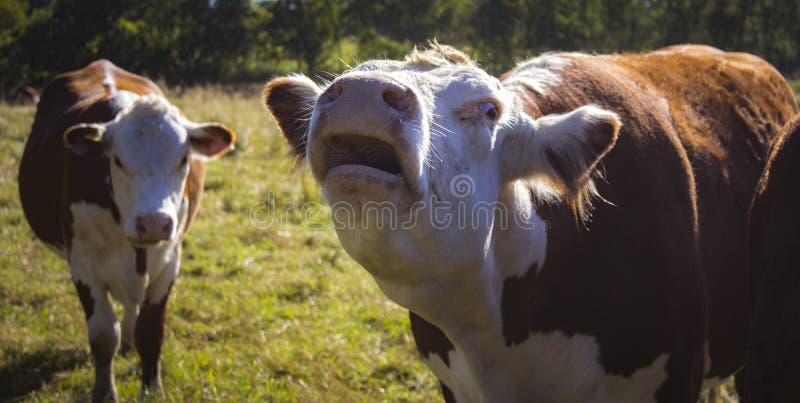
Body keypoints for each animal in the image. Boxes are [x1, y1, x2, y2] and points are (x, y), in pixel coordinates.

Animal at [18, 59, 235, 402]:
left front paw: (152, 388)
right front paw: (105, 391)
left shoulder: (169, 261)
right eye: (118, 160)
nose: (154, 223)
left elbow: (151, 333)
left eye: (183, 158)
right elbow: (104, 335)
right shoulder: (83, 263)